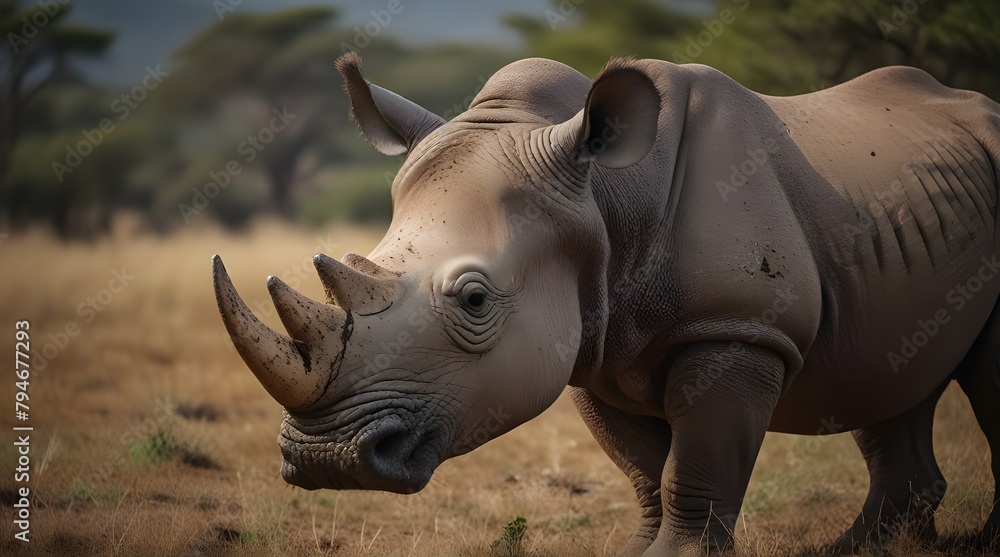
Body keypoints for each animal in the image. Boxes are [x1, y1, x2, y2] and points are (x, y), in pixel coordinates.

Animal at [213, 53, 1000, 556]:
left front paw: (677, 555)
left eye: (474, 299)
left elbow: (697, 463)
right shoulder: (594, 347)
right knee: (891, 368)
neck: (606, 196)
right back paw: (859, 549)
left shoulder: (737, 328)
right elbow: (646, 470)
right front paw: (639, 548)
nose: (325, 457)